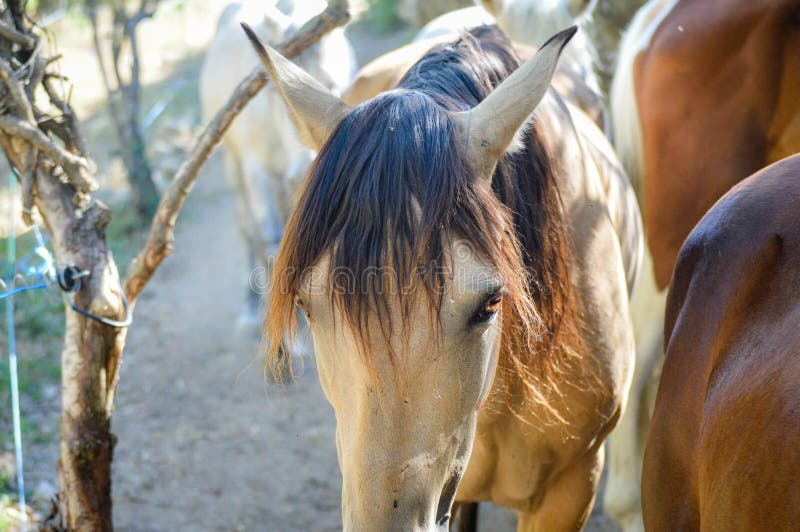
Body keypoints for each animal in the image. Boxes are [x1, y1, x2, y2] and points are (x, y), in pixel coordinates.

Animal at [198, 0, 356, 328]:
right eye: (272, 93)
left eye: (336, 84)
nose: (308, 168)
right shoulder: (258, 170)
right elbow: (270, 238)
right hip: (234, 164)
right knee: (246, 224)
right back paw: (249, 307)